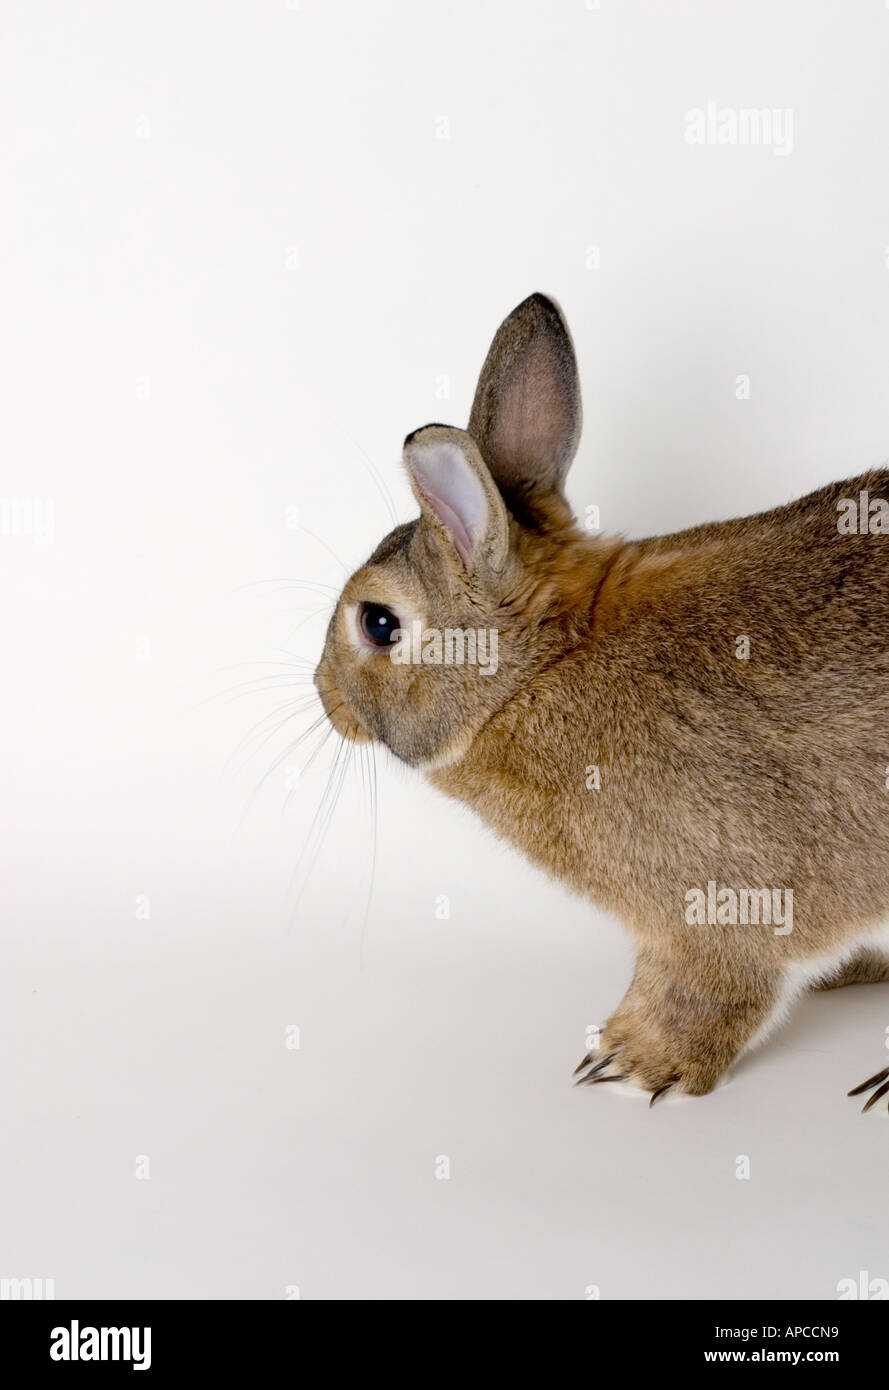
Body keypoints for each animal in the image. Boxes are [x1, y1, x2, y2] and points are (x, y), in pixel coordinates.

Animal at [314, 292, 889, 1105]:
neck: (539, 672)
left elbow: (704, 989)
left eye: (379, 624)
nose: (321, 694)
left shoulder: (712, 908)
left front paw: (629, 1060)